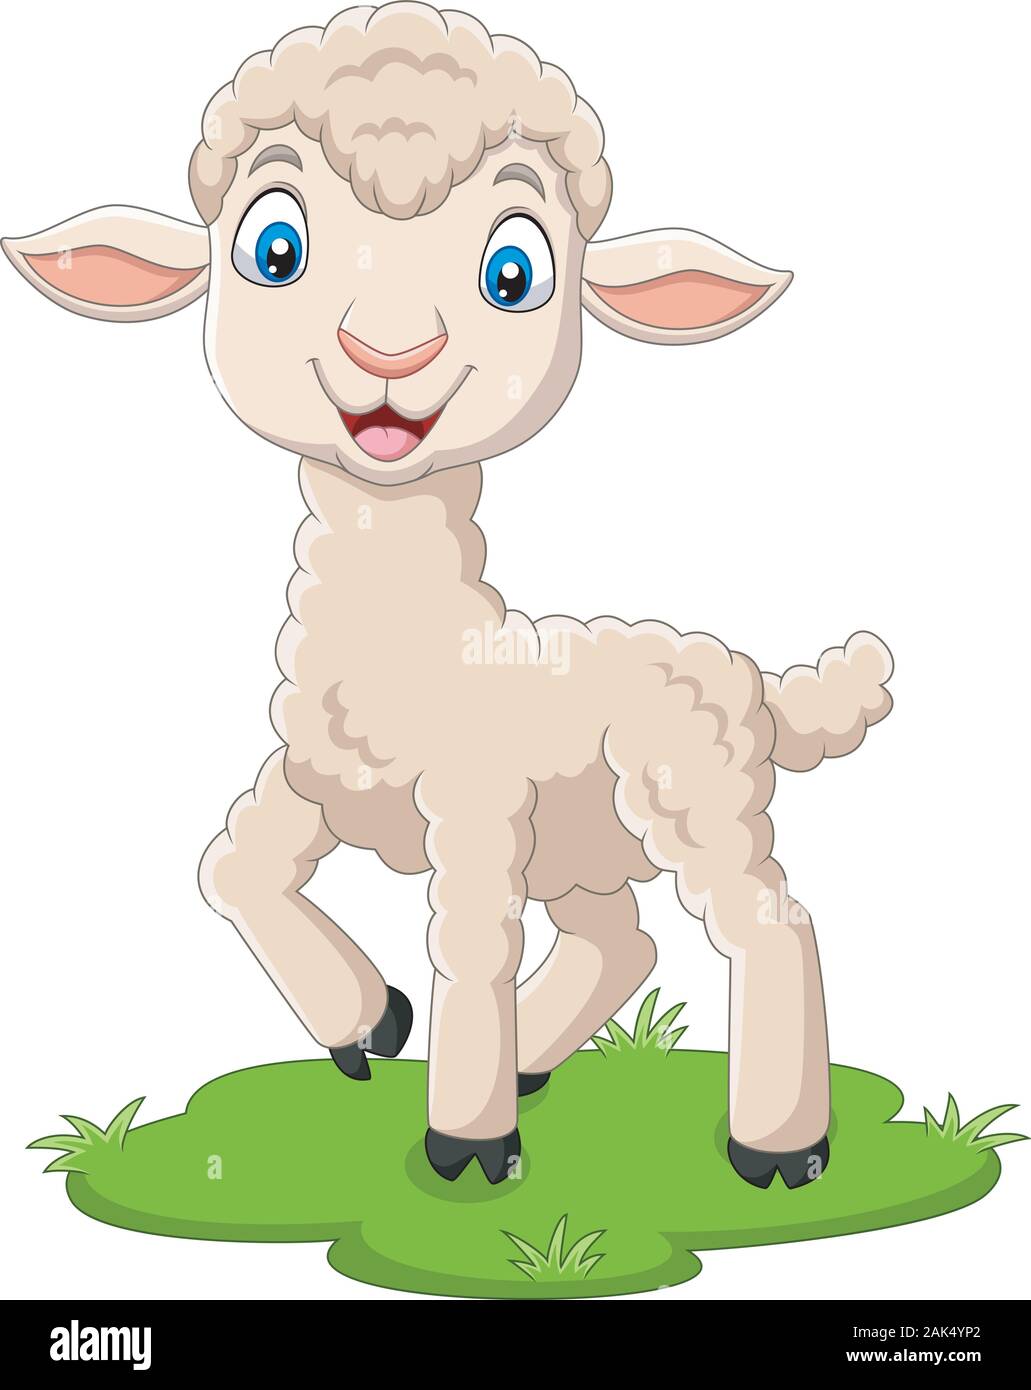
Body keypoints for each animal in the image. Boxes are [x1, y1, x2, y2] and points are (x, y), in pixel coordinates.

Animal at [4, 2, 893, 1188]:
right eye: (273, 250)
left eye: (514, 272)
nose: (387, 354)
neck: (422, 639)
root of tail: (757, 681)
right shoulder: (317, 781)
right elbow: (233, 866)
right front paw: (368, 1022)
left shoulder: (473, 806)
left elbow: (466, 946)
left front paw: (465, 1143)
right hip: (583, 849)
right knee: (622, 944)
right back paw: (534, 1060)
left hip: (695, 800)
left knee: (768, 920)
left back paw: (778, 1148)